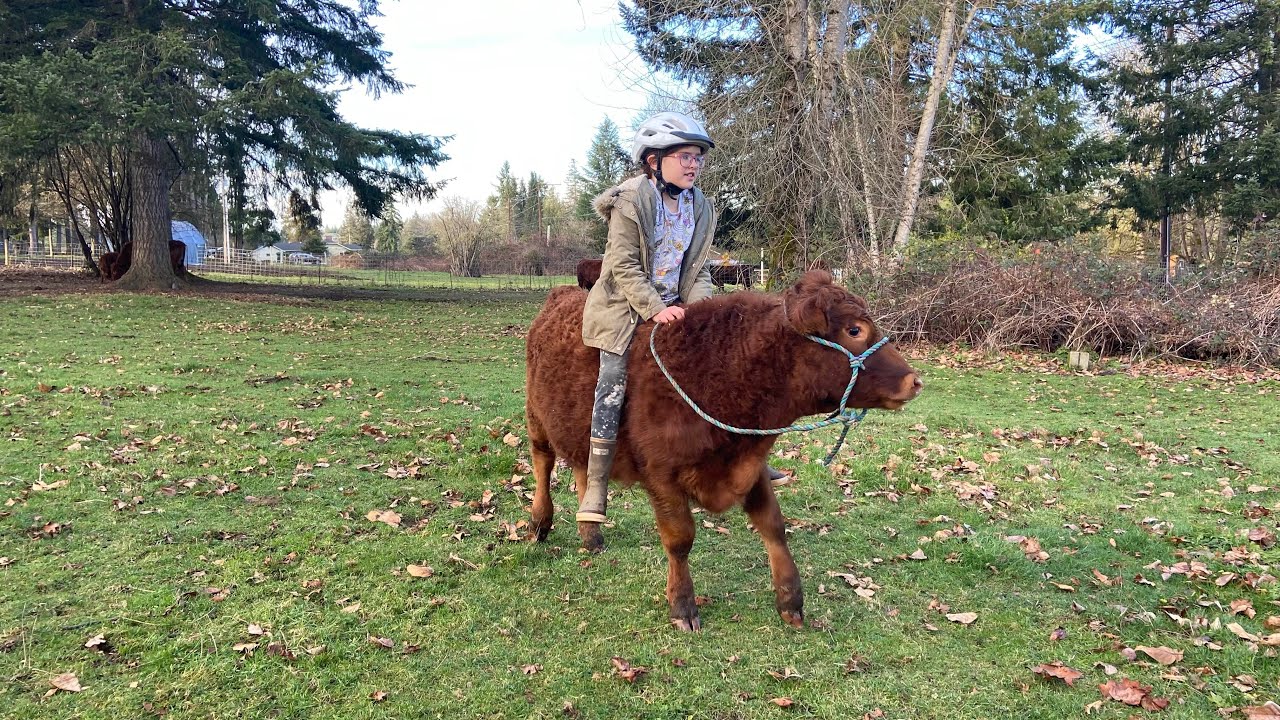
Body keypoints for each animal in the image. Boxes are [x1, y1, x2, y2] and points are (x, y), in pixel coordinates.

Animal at [524, 271, 922, 630]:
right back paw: (540, 522)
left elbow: (773, 525)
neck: (719, 373)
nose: (914, 381)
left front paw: (790, 600)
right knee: (543, 463)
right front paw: (682, 605)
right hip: (536, 418)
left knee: (583, 466)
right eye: (854, 330)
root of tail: (561, 295)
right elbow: (680, 539)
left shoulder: (751, 463)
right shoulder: (661, 475)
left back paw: (590, 530)